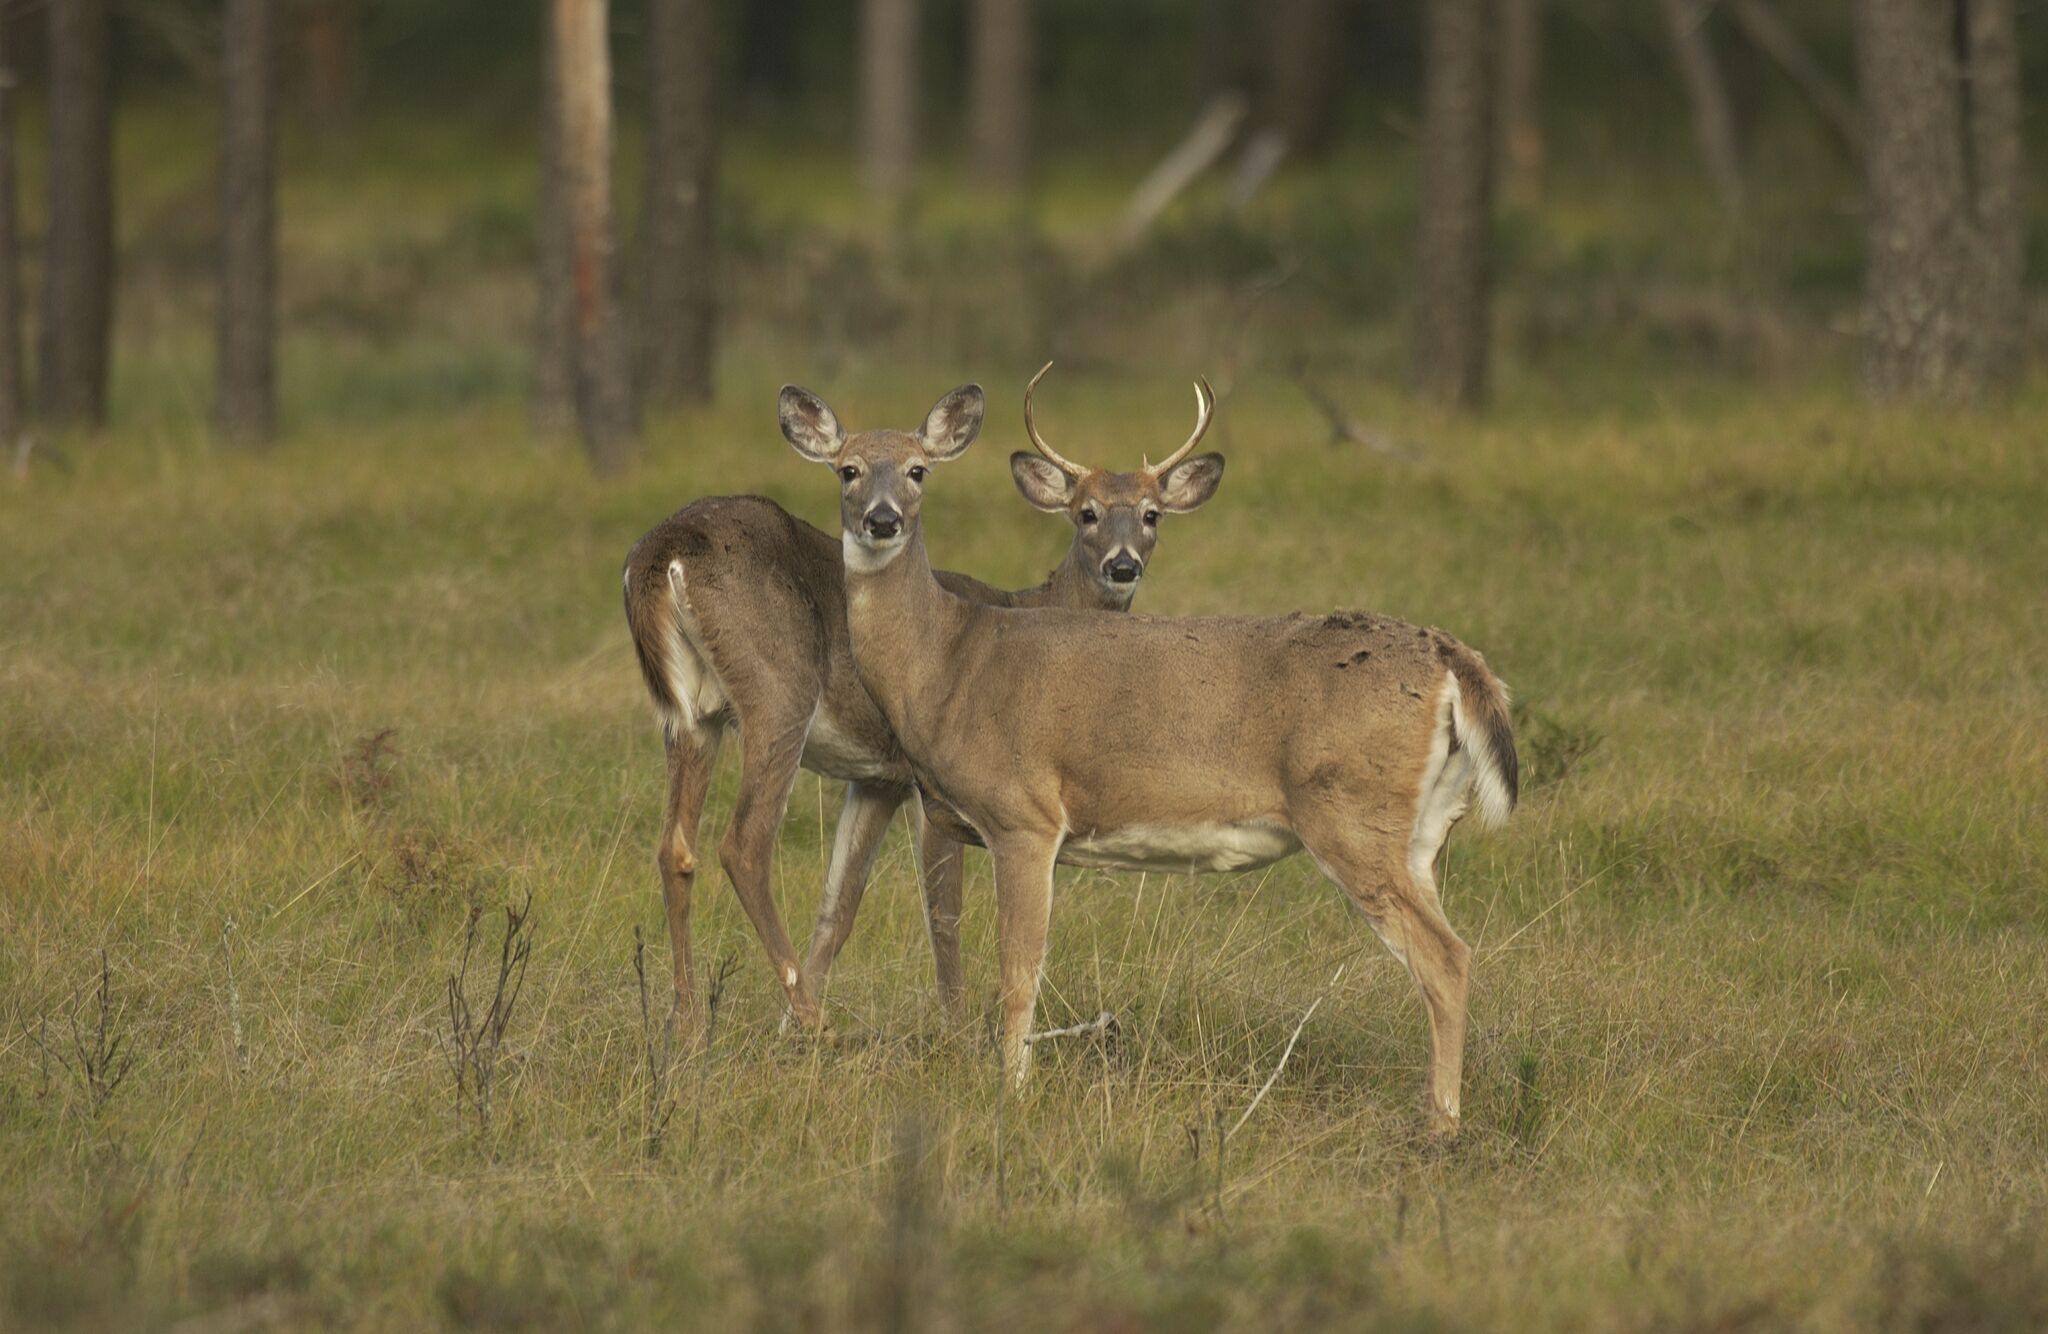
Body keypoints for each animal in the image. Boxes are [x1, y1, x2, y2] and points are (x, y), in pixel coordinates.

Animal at [621, 367, 1225, 1040]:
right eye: (1085, 513)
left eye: (1152, 514)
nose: (1123, 565)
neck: (1029, 607)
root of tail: (665, 554)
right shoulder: (929, 779)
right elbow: (944, 912)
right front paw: (956, 1030)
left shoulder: (878, 777)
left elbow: (839, 907)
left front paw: (788, 1027)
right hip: (778, 691)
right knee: (744, 844)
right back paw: (809, 1021)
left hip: (689, 714)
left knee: (676, 847)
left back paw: (688, 1022)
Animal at [778, 379, 1517, 1137]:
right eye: (847, 469)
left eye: (919, 470)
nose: (882, 520)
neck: (949, 661)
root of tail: (1454, 662)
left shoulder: (1024, 815)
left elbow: (1017, 973)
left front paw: (1013, 1093)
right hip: (1421, 833)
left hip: (1351, 816)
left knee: (1447, 958)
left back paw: (1441, 1127)